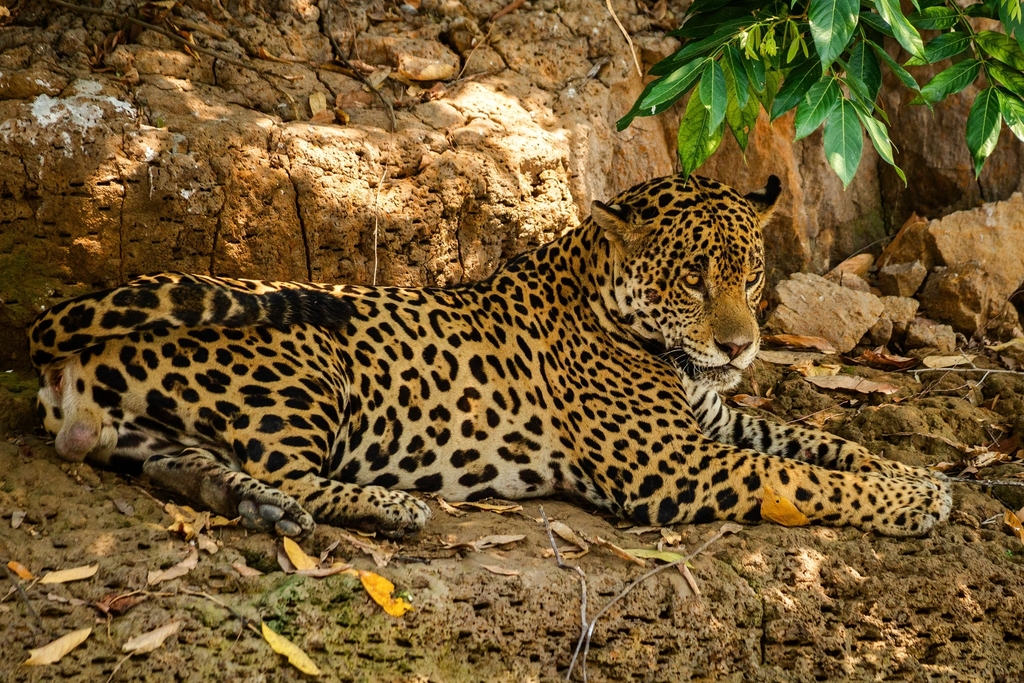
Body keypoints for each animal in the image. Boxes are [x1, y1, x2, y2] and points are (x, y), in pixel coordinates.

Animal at [28, 173, 951, 539]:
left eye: (751, 274)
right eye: (693, 279)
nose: (741, 343)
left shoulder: (714, 421)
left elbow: (822, 442)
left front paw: (917, 476)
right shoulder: (674, 464)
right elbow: (800, 475)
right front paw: (915, 502)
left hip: (161, 432)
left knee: (186, 469)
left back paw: (256, 506)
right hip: (304, 366)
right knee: (292, 470)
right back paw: (387, 507)